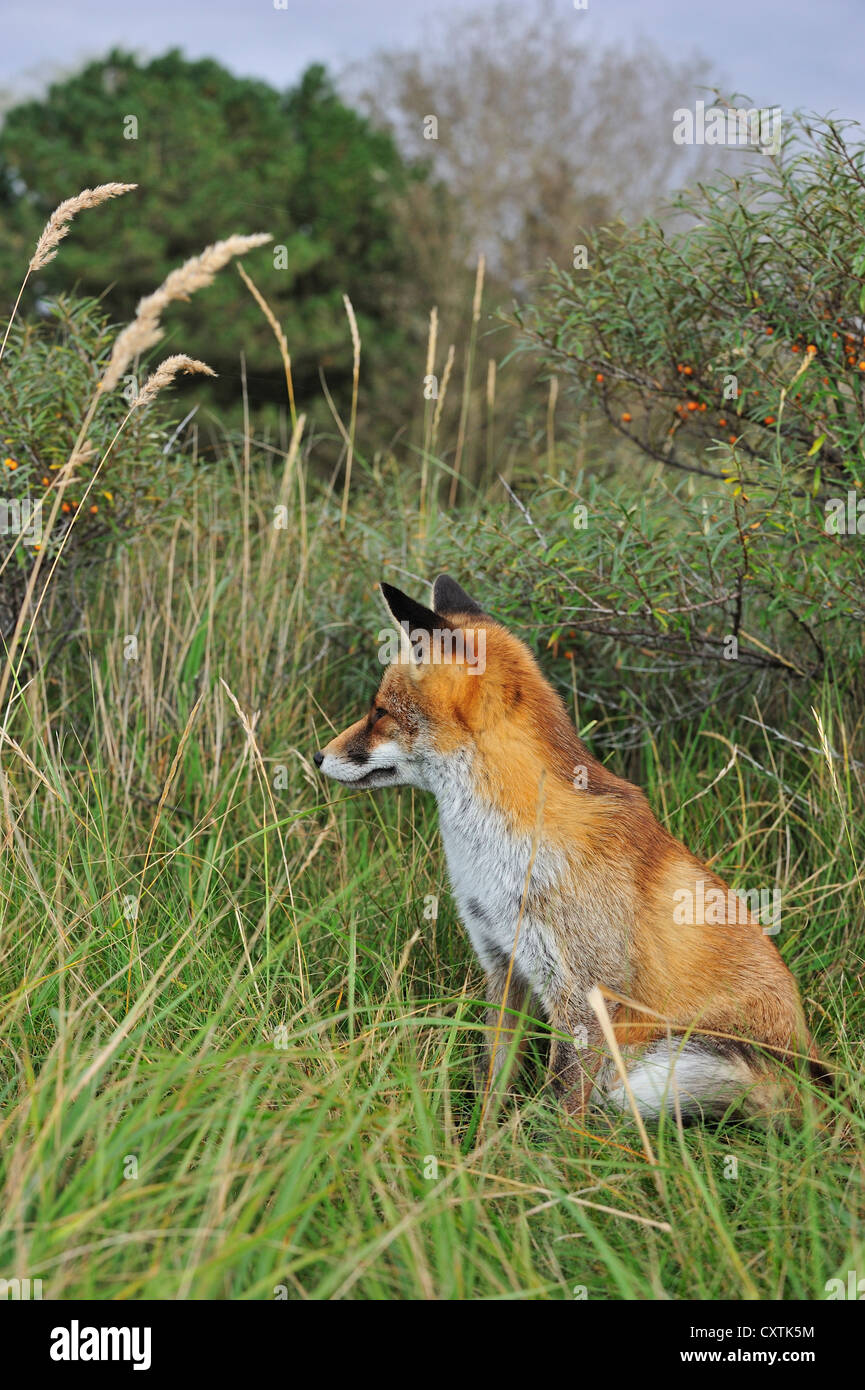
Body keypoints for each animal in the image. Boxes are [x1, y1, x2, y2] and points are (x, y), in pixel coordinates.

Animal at [314, 574, 826, 1122]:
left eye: (379, 713)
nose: (319, 756)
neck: (495, 855)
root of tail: (819, 1091)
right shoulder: (504, 966)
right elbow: (493, 1083)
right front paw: (479, 1142)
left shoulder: (583, 996)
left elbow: (559, 1111)